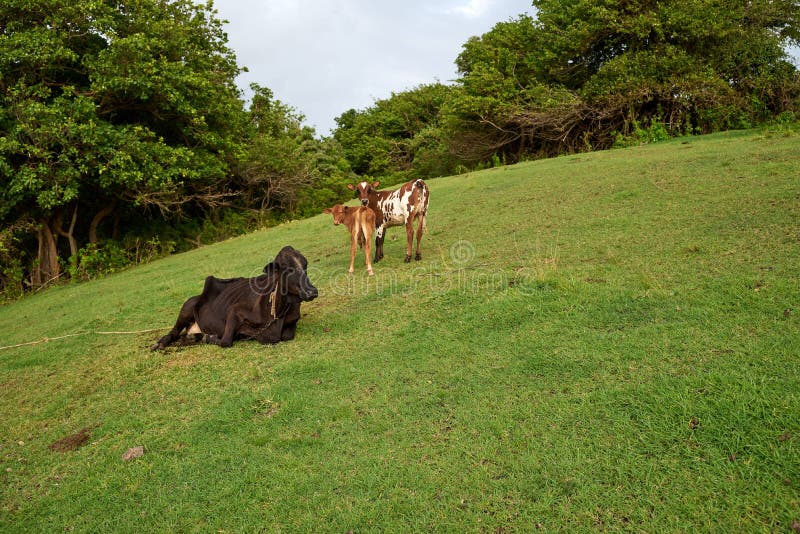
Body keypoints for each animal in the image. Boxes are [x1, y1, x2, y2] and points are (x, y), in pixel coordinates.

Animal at [151, 246, 318, 350]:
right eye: (286, 268)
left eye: (305, 265)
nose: (312, 292)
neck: (277, 312)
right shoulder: (234, 310)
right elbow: (226, 341)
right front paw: (210, 338)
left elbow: (286, 336)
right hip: (187, 306)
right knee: (173, 332)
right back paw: (160, 344)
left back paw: (193, 337)